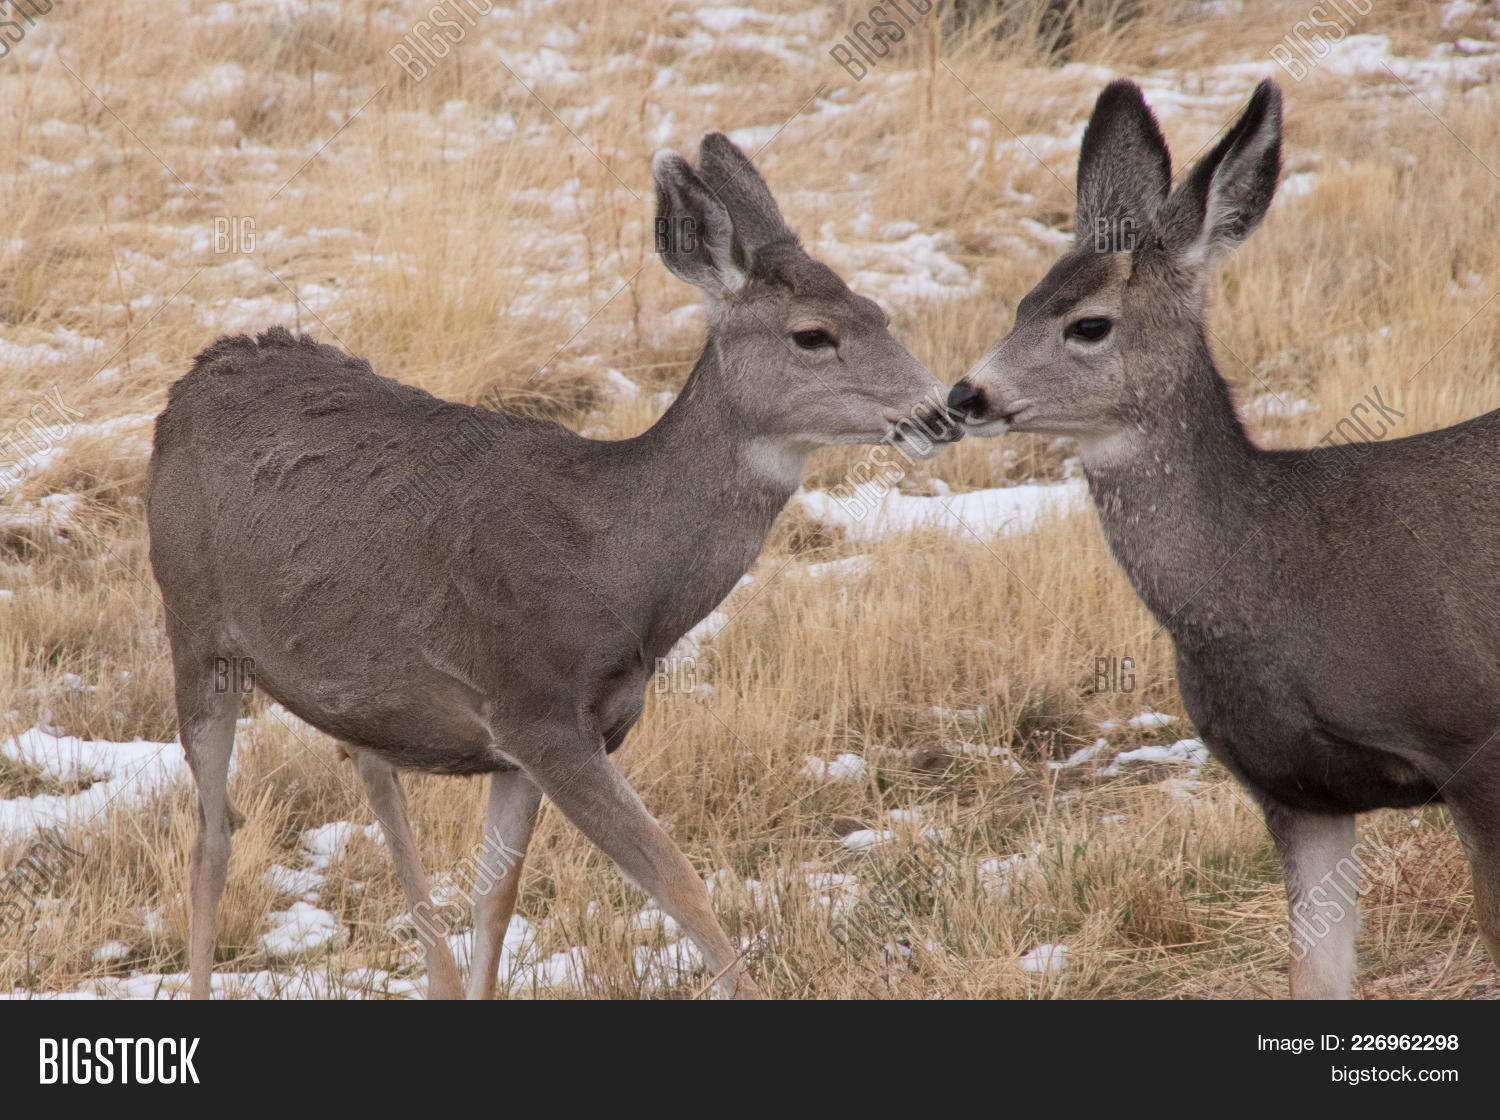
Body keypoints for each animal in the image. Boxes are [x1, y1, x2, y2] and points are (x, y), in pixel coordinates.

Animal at [145, 133, 961, 1000]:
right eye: (812, 334)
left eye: (880, 312)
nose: (940, 410)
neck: (616, 566)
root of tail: (196, 372)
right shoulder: (536, 709)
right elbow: (677, 881)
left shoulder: (535, 738)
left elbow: (495, 900)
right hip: (193, 625)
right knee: (211, 839)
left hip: (350, 671)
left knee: (364, 766)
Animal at [946, 78, 1499, 998]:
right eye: (1022, 304)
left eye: (1088, 324)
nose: (965, 395)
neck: (1270, 573)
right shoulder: (1293, 791)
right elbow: (1314, 976)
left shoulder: (1471, 737)